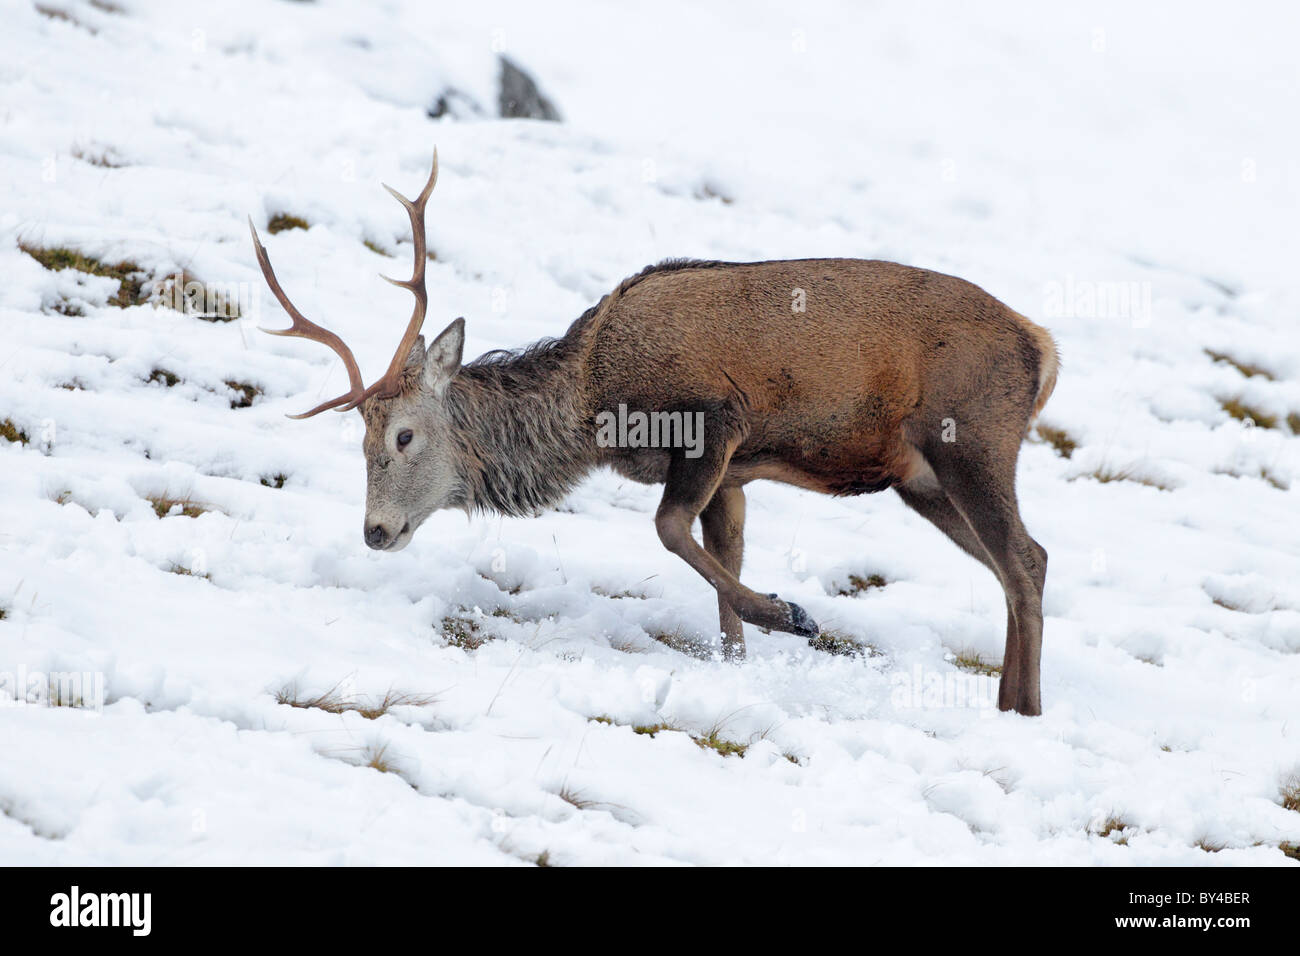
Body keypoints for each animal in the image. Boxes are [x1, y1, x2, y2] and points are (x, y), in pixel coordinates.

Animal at [249, 151, 1059, 716]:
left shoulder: (713, 420)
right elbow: (724, 562)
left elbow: (671, 530)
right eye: (360, 441)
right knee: (1023, 562)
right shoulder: (735, 469)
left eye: (403, 437)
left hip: (972, 439)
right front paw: (739, 660)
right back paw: (1008, 700)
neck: (592, 406)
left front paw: (791, 614)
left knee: (1023, 559)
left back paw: (1022, 710)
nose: (375, 531)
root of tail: (1044, 349)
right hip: (921, 478)